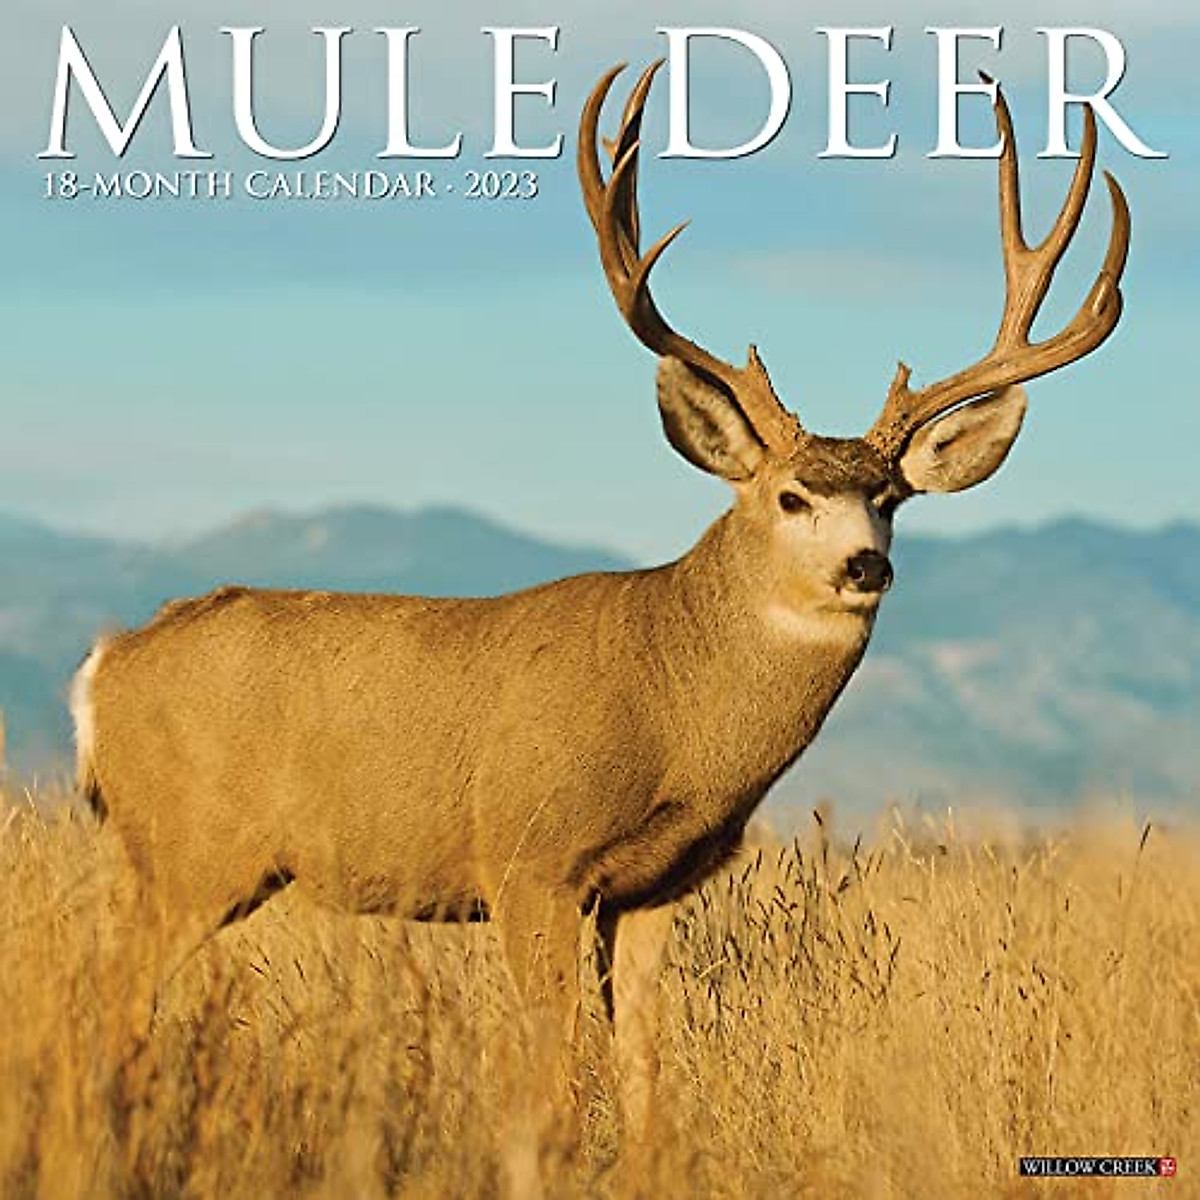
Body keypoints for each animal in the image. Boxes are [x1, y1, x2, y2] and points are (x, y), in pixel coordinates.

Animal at [71, 60, 1128, 1136]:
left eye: (890, 499)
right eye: (791, 496)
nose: (865, 567)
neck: (672, 699)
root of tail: (104, 667)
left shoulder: (652, 887)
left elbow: (647, 1074)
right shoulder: (529, 857)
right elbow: (546, 1077)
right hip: (192, 847)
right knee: (109, 992)